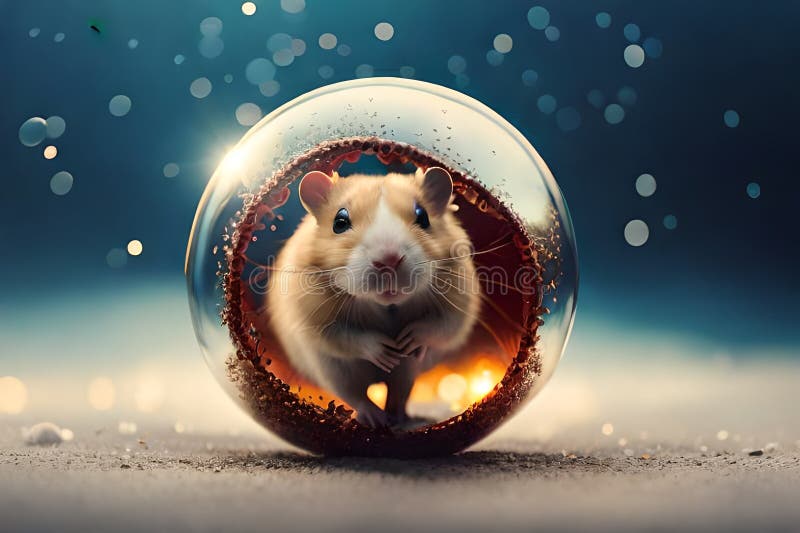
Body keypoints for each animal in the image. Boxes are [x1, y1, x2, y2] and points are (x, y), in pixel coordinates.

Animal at [267, 167, 480, 427]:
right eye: (339, 222)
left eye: (423, 217)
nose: (389, 260)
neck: (386, 305)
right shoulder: (312, 315)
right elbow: (340, 336)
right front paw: (382, 349)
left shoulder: (459, 298)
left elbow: (445, 326)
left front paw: (412, 337)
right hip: (333, 371)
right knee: (354, 394)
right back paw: (374, 417)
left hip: (407, 369)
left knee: (400, 389)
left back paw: (398, 416)